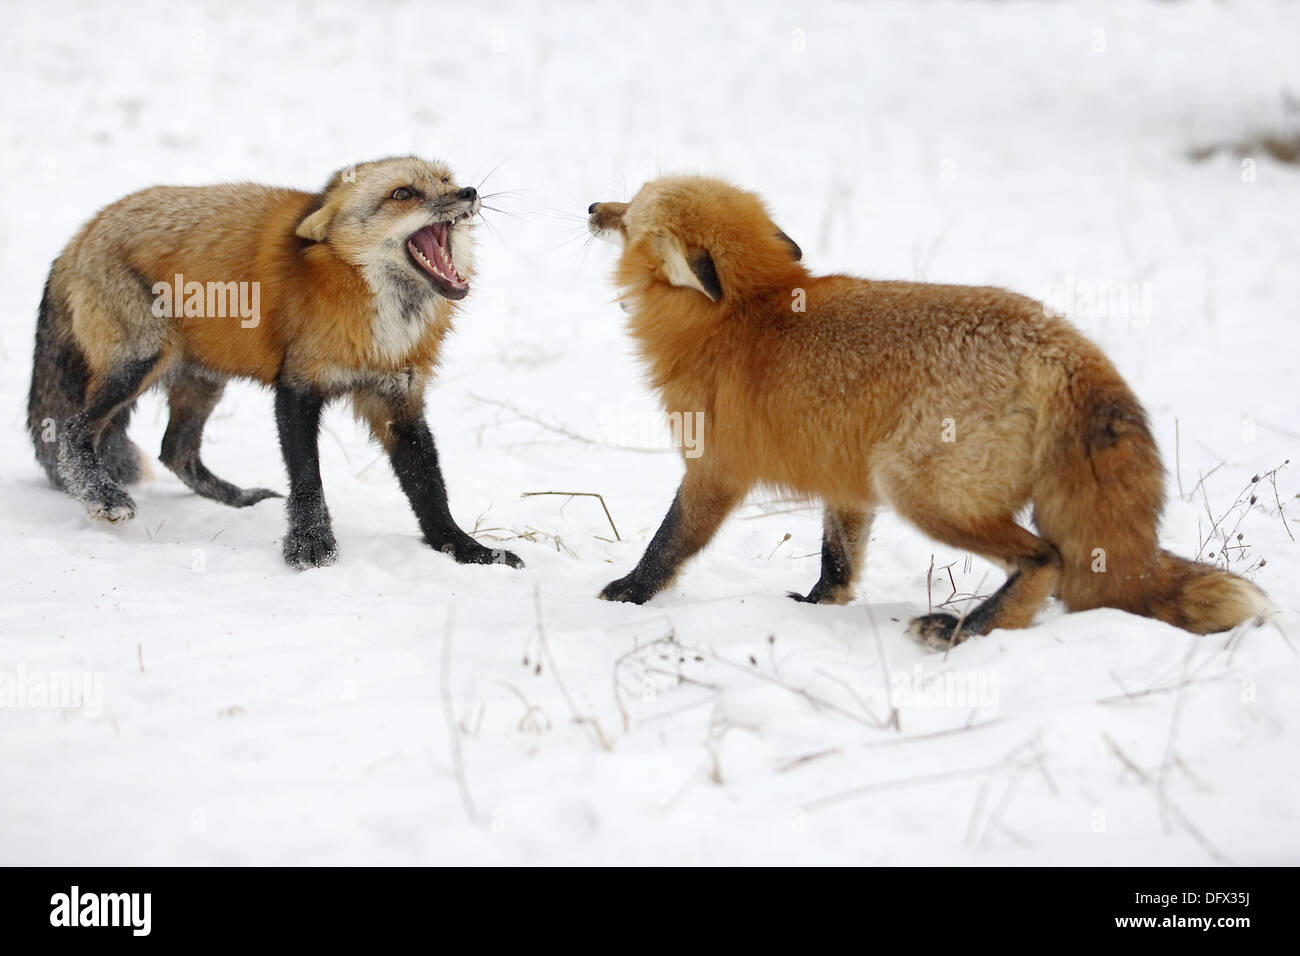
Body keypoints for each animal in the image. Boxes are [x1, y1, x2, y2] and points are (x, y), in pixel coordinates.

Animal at [27, 156, 523, 571]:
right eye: (403, 193)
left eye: (446, 180)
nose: (469, 192)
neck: (381, 321)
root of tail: (82, 232)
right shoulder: (298, 387)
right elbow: (307, 481)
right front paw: (311, 547)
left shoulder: (398, 401)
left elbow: (431, 492)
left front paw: (466, 550)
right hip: (139, 363)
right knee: (71, 429)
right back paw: (102, 495)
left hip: (203, 377)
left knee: (175, 450)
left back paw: (238, 498)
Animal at [587, 176, 1271, 645]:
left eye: (631, 207)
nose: (592, 207)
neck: (746, 311)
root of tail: (1062, 345)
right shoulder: (848, 483)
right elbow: (838, 560)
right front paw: (815, 609)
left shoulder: (716, 469)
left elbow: (669, 542)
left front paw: (625, 596)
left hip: (920, 490)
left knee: (1046, 559)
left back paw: (964, 632)